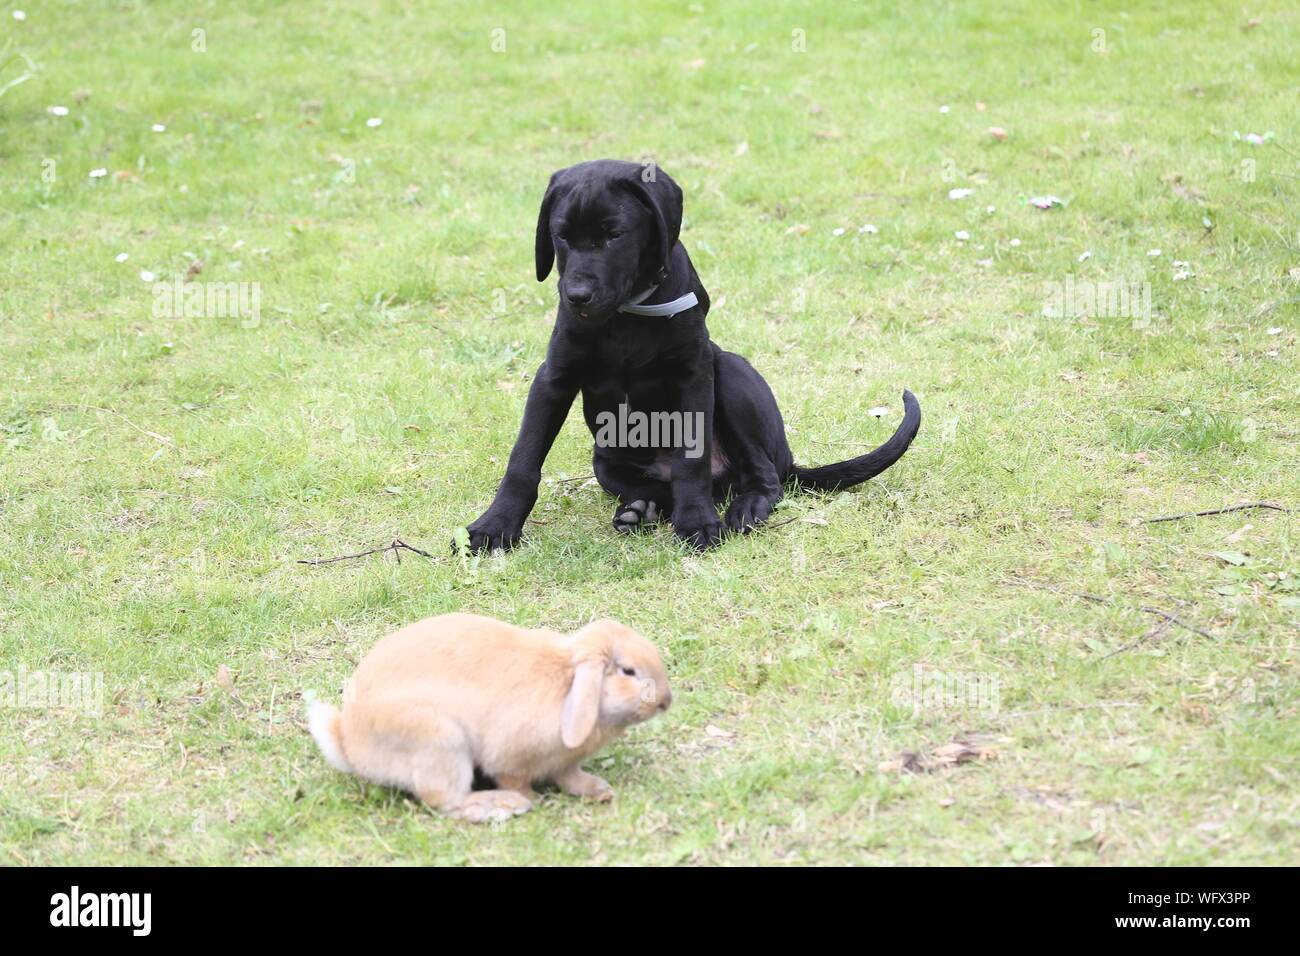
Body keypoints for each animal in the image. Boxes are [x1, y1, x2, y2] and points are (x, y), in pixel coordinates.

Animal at [307, 613, 672, 823]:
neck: (569, 682)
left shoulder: (564, 763)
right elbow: (514, 778)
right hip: (441, 742)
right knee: (444, 802)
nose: (666, 702)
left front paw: (598, 790)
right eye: (629, 672)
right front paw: (533, 799)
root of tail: (349, 745)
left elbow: (570, 776)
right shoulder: (510, 759)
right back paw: (503, 806)